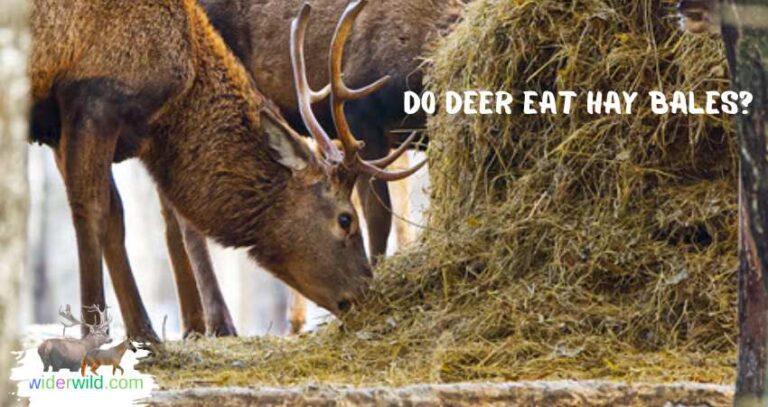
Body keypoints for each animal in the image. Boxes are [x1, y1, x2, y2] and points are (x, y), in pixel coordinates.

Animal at [28, 0, 423, 340]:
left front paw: (145, 336)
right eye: (345, 219)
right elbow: (91, 213)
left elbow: (114, 217)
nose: (364, 292)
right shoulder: (94, 96)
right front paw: (95, 338)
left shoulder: (57, 128)